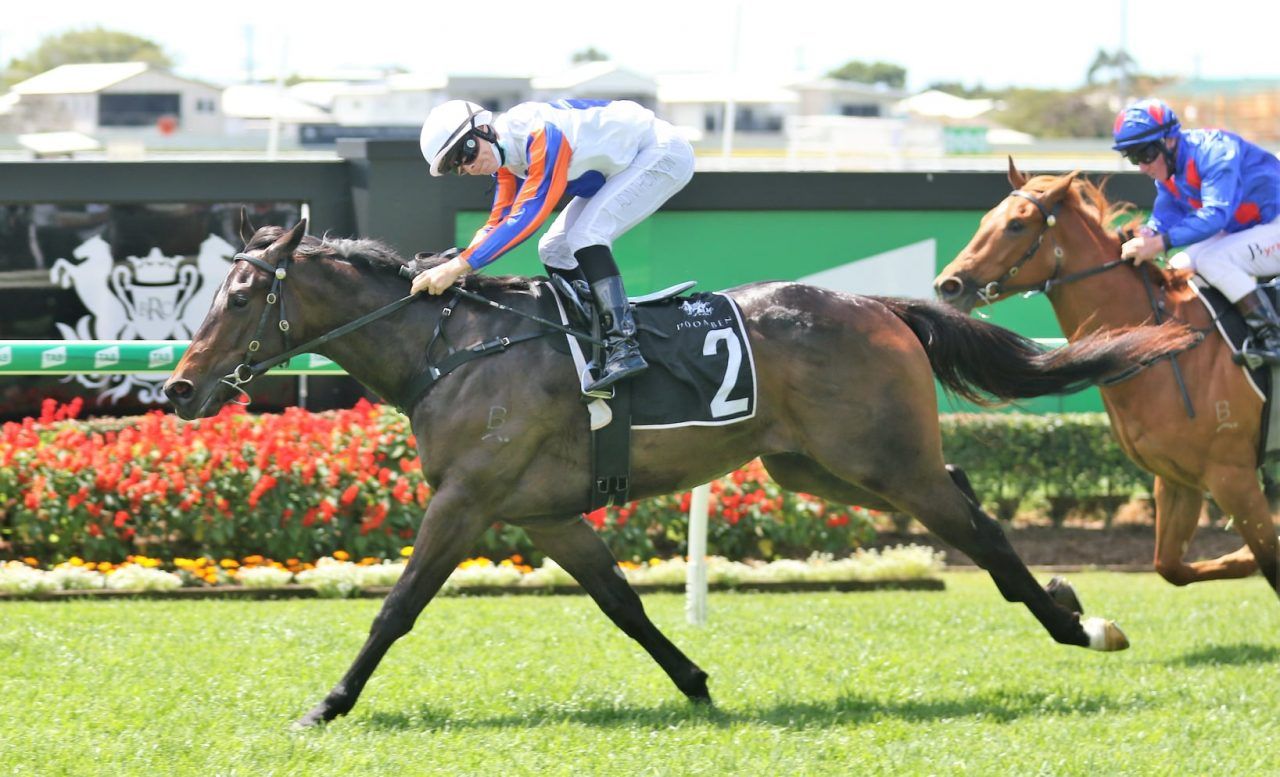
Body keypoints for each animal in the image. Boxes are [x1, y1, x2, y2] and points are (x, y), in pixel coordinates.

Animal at [164, 219, 1195, 728]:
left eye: (244, 295)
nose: (177, 388)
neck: (452, 349)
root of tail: (878, 304)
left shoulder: (465, 501)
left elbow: (396, 608)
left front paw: (328, 704)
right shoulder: (542, 514)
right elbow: (624, 604)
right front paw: (695, 682)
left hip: (880, 460)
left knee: (971, 524)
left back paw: (1075, 624)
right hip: (818, 467)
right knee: (969, 503)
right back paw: (1068, 600)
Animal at [934, 158, 1280, 600]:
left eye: (1016, 224)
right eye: (985, 219)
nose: (948, 284)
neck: (1169, 344)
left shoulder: (1231, 475)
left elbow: (1270, 559)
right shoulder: (1177, 478)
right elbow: (1170, 566)